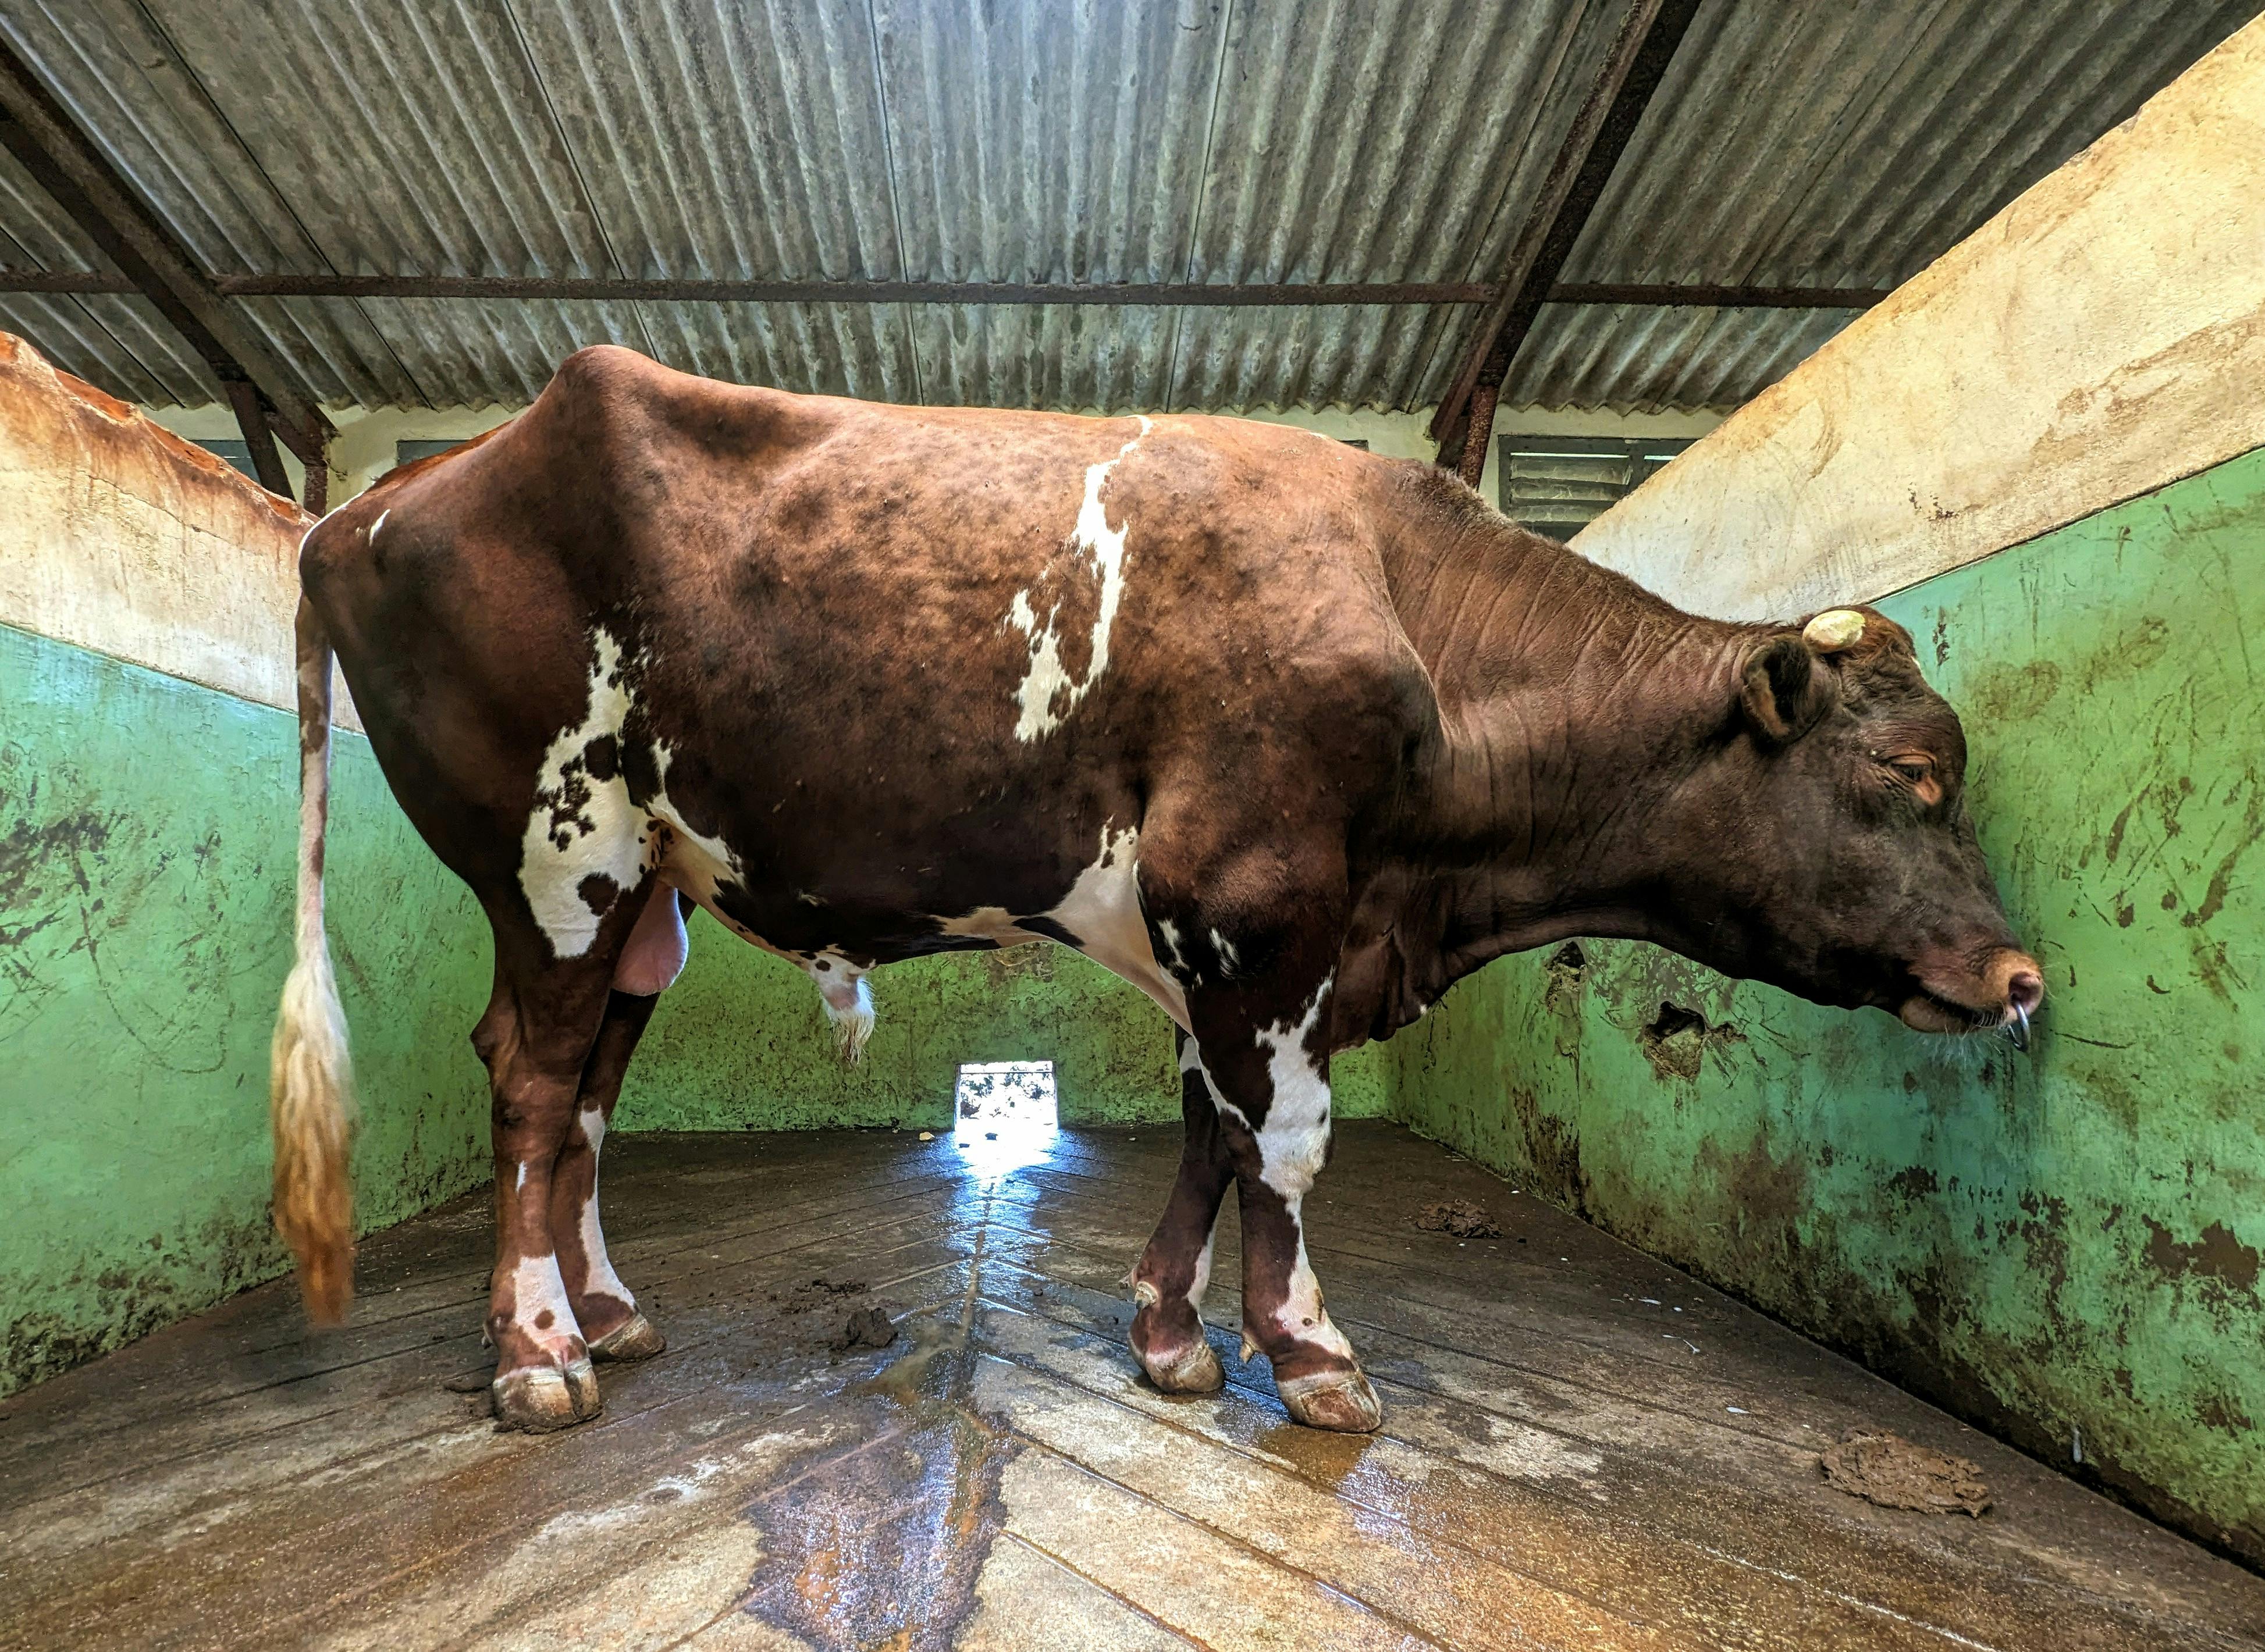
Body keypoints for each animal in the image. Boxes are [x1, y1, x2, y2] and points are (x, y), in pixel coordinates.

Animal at [272, 345, 2043, 1435]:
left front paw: (1170, 1332)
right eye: (1909, 778)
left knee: (585, 1092)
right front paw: (1309, 1351)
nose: (2018, 977)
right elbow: (1290, 1142)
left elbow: (1214, 1131)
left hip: (653, 887)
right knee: (529, 1079)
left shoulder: (1229, 937)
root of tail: (372, 498)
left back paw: (611, 1310)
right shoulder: (1263, 900)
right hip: (554, 851)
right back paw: (535, 1354)